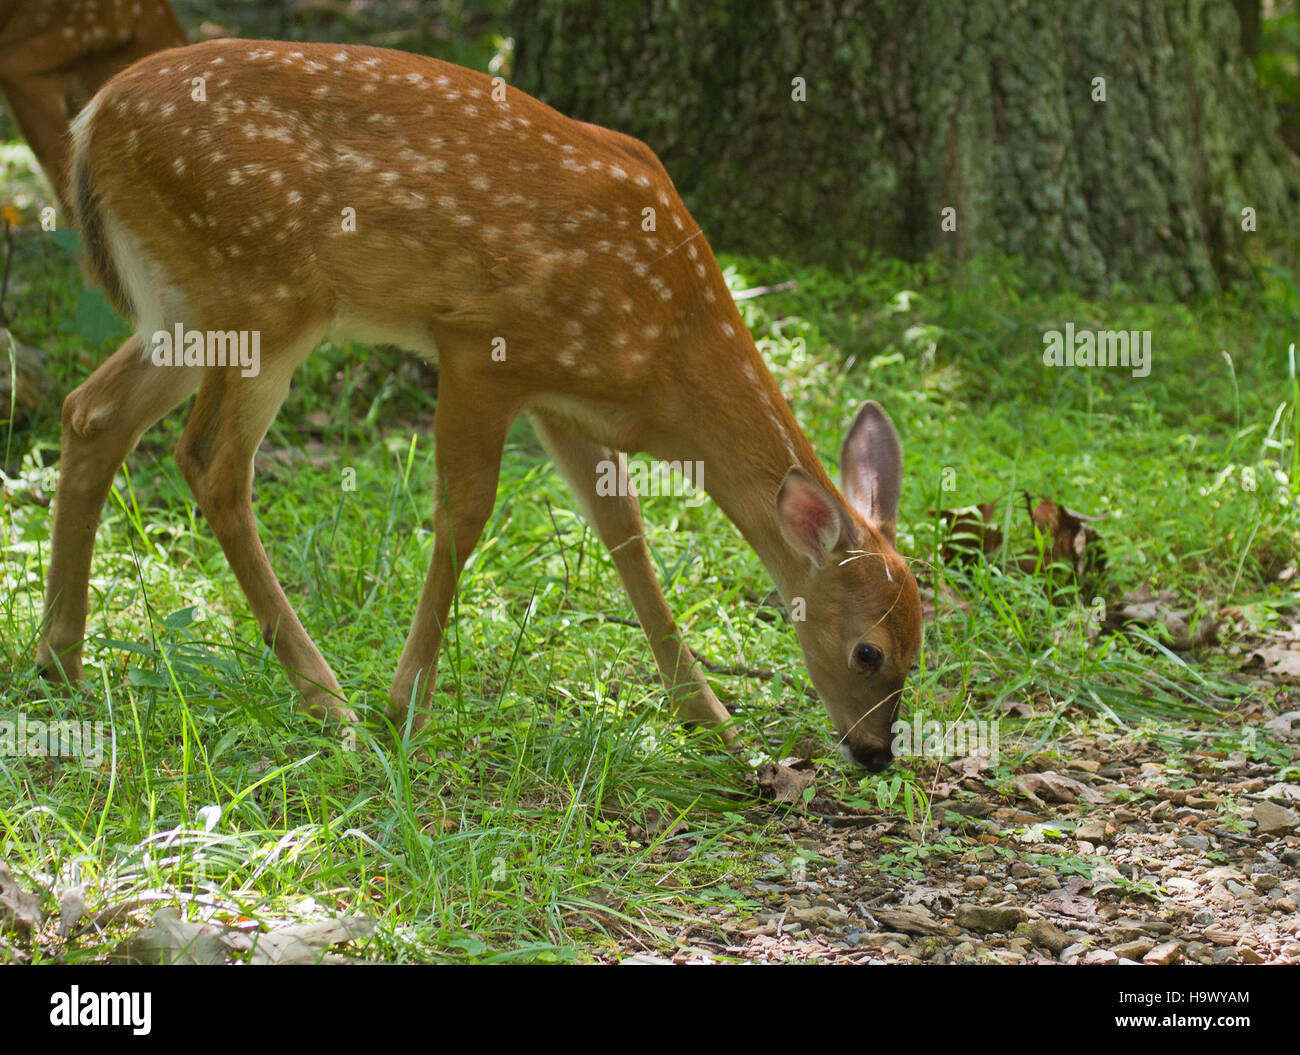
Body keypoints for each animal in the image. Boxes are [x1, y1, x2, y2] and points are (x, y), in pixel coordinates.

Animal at [36, 39, 923, 771]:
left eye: (921, 646)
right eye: (869, 652)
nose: (876, 753)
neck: (666, 354)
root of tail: (91, 117)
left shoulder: (566, 402)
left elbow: (625, 534)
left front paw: (716, 727)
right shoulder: (481, 345)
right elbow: (464, 514)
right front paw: (406, 707)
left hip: (181, 307)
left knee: (91, 412)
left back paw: (59, 661)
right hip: (263, 293)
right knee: (210, 462)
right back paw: (330, 704)